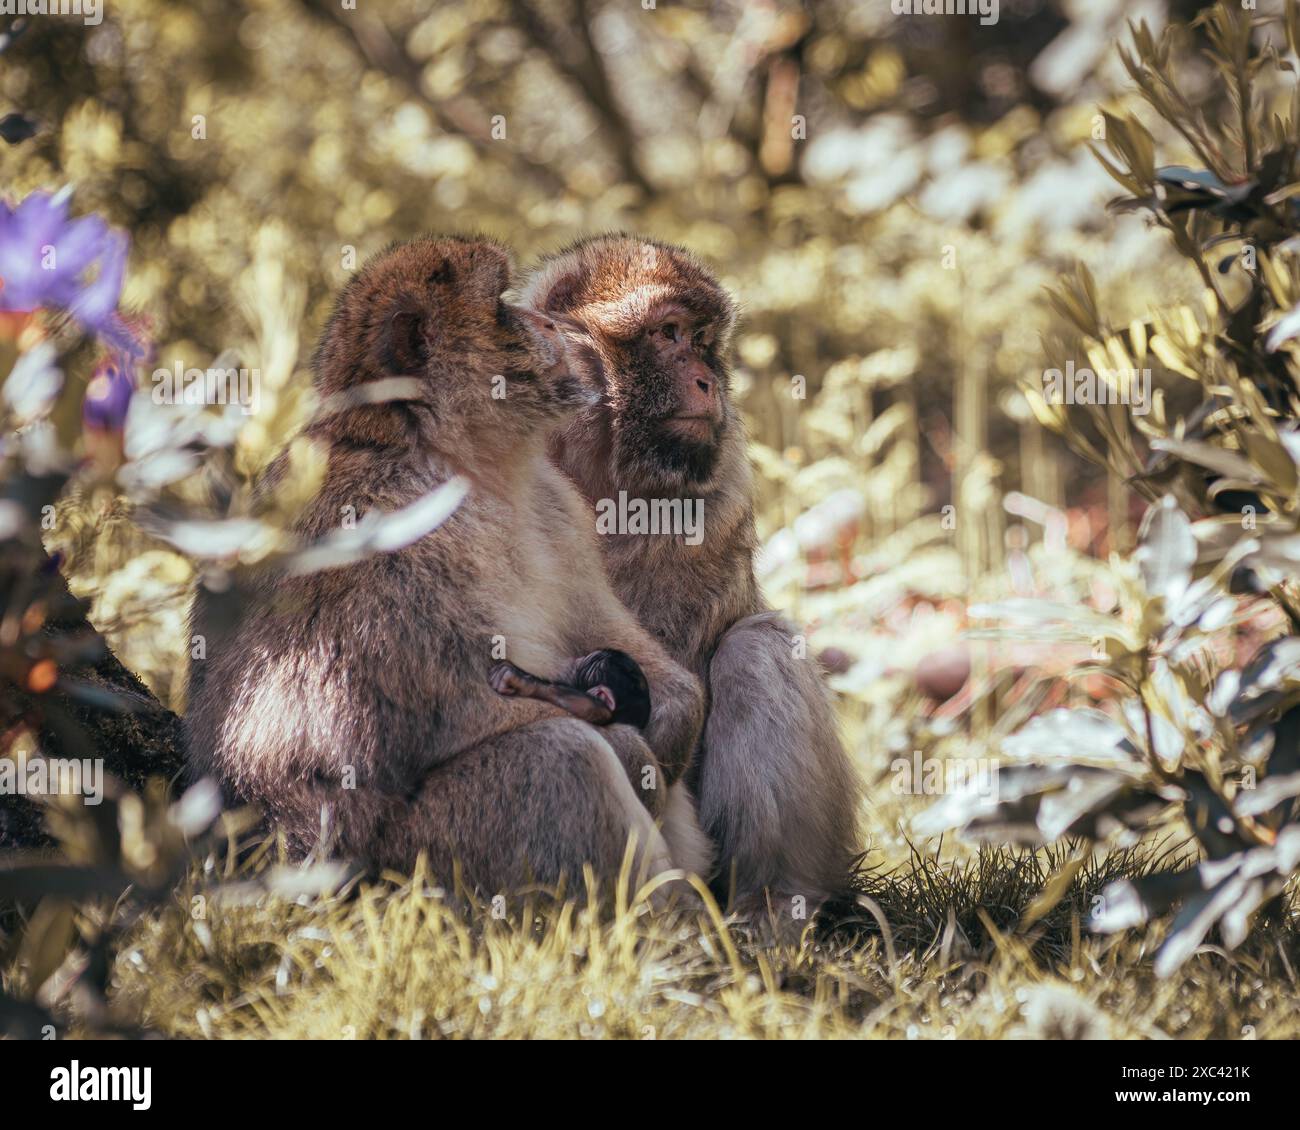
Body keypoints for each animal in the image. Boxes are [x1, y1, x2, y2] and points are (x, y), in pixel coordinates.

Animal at [518, 234, 862, 917]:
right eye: (668, 333)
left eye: (703, 341)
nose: (707, 381)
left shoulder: (719, 488)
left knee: (757, 647)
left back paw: (771, 906)